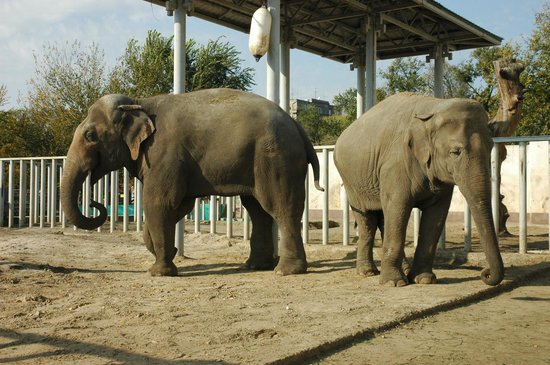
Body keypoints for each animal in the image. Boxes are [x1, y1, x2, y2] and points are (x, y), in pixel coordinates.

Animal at [61, 88, 324, 276]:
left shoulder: (164, 155)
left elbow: (159, 203)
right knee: (257, 210)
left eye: (90, 136)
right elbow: (178, 206)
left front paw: (159, 272)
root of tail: (297, 126)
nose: (94, 203)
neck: (139, 101)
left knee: (279, 207)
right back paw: (254, 266)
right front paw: (167, 251)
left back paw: (285, 271)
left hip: (276, 157)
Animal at [334, 92, 506, 286]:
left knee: (384, 219)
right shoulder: (395, 165)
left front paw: (424, 279)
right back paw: (368, 272)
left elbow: (436, 216)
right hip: (351, 181)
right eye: (455, 152)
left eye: (490, 148)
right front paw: (394, 283)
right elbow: (398, 208)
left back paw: (401, 269)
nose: (485, 274)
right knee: (367, 220)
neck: (433, 109)